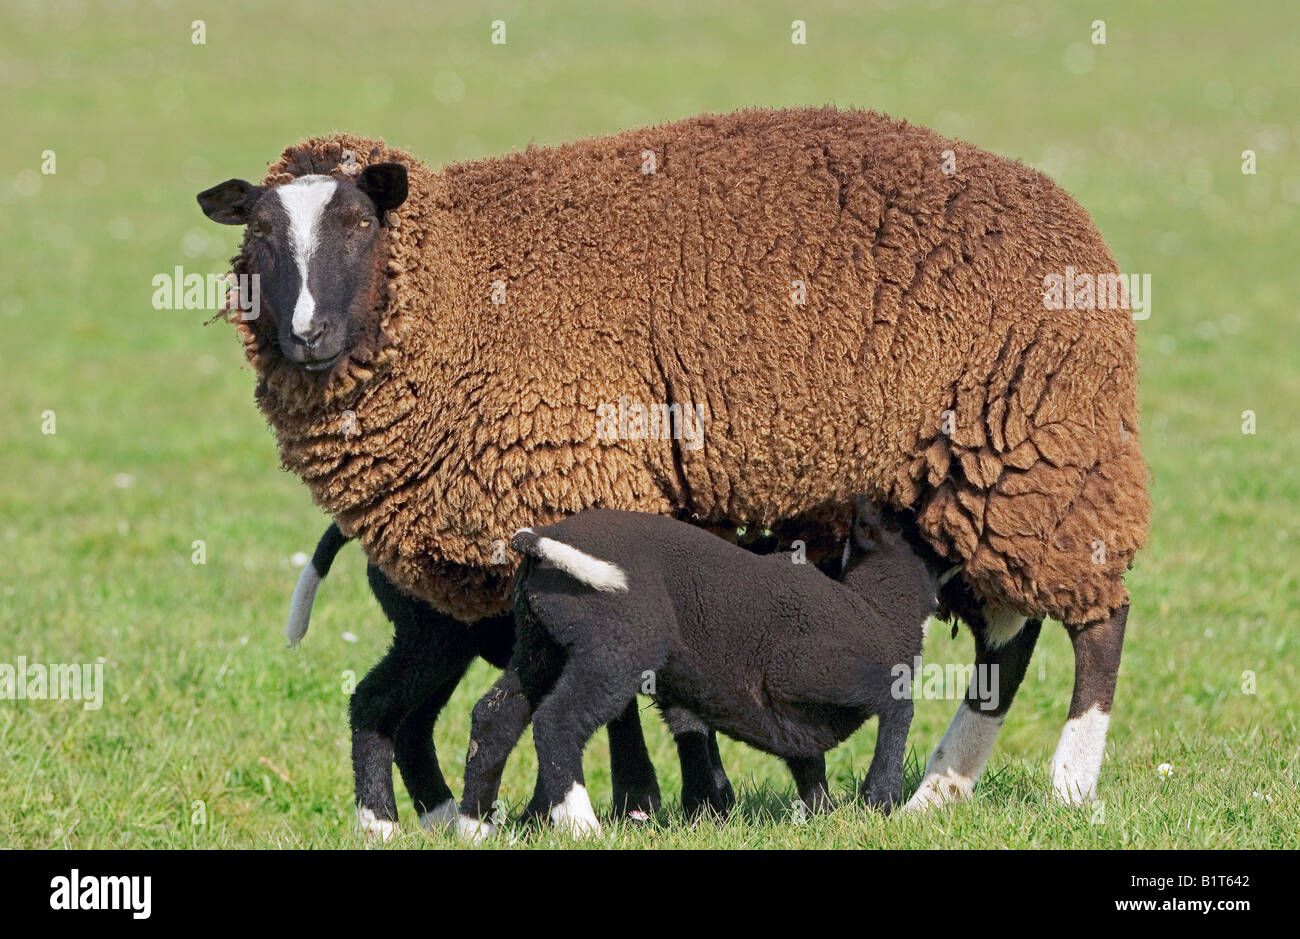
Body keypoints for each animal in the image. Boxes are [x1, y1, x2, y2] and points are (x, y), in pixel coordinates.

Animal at [285, 522, 734, 835]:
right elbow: (686, 716)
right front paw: (703, 804)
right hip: (431, 636)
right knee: (372, 702)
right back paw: (381, 823)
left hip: (449, 646)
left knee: (413, 724)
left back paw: (444, 816)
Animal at [456, 497, 942, 839]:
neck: (876, 614)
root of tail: (542, 542)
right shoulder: (802, 670)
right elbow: (898, 698)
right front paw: (880, 798)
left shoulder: (798, 728)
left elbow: (810, 771)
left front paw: (822, 819)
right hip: (618, 647)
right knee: (557, 722)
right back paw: (582, 828)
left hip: (540, 645)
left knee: (493, 718)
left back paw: (473, 827)